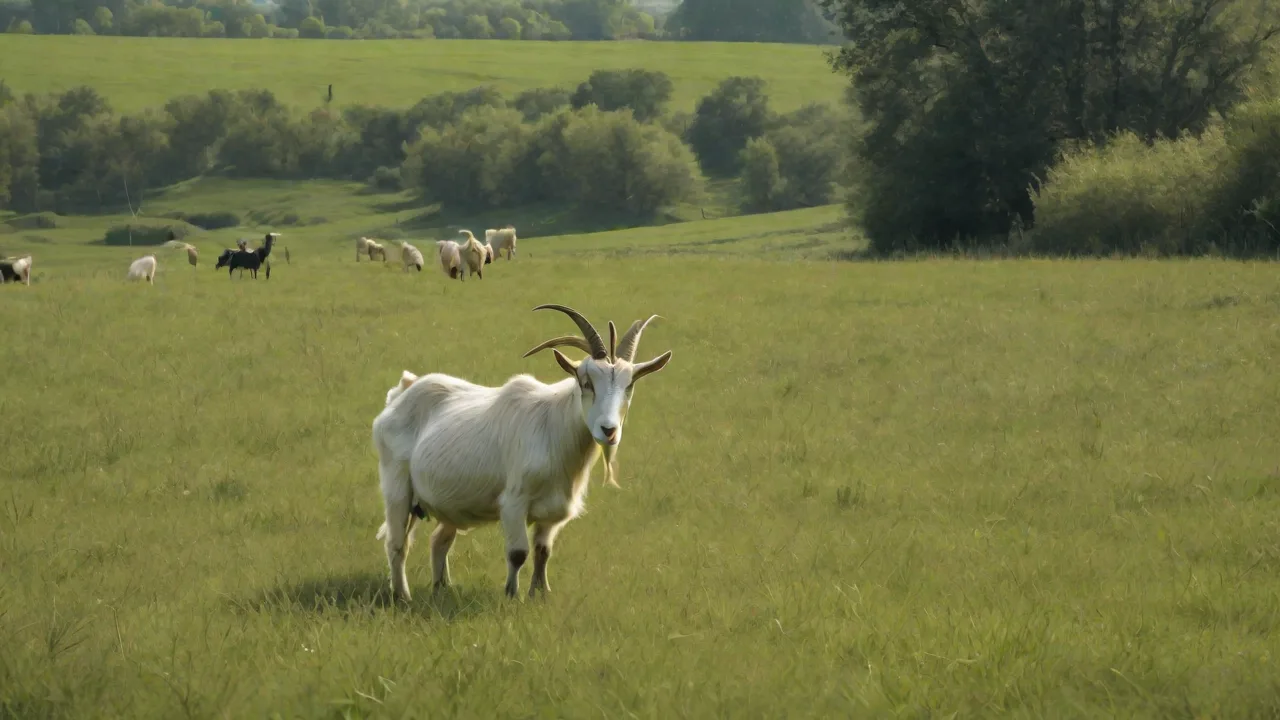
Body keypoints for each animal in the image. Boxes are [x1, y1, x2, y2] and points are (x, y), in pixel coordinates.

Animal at [372, 304, 672, 602]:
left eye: (629, 385)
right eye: (586, 382)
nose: (608, 430)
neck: (554, 428)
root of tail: (401, 392)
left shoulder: (553, 513)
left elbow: (543, 552)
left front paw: (540, 594)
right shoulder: (514, 503)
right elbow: (518, 553)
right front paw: (511, 595)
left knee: (439, 540)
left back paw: (441, 587)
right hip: (397, 487)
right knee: (396, 544)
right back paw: (402, 595)